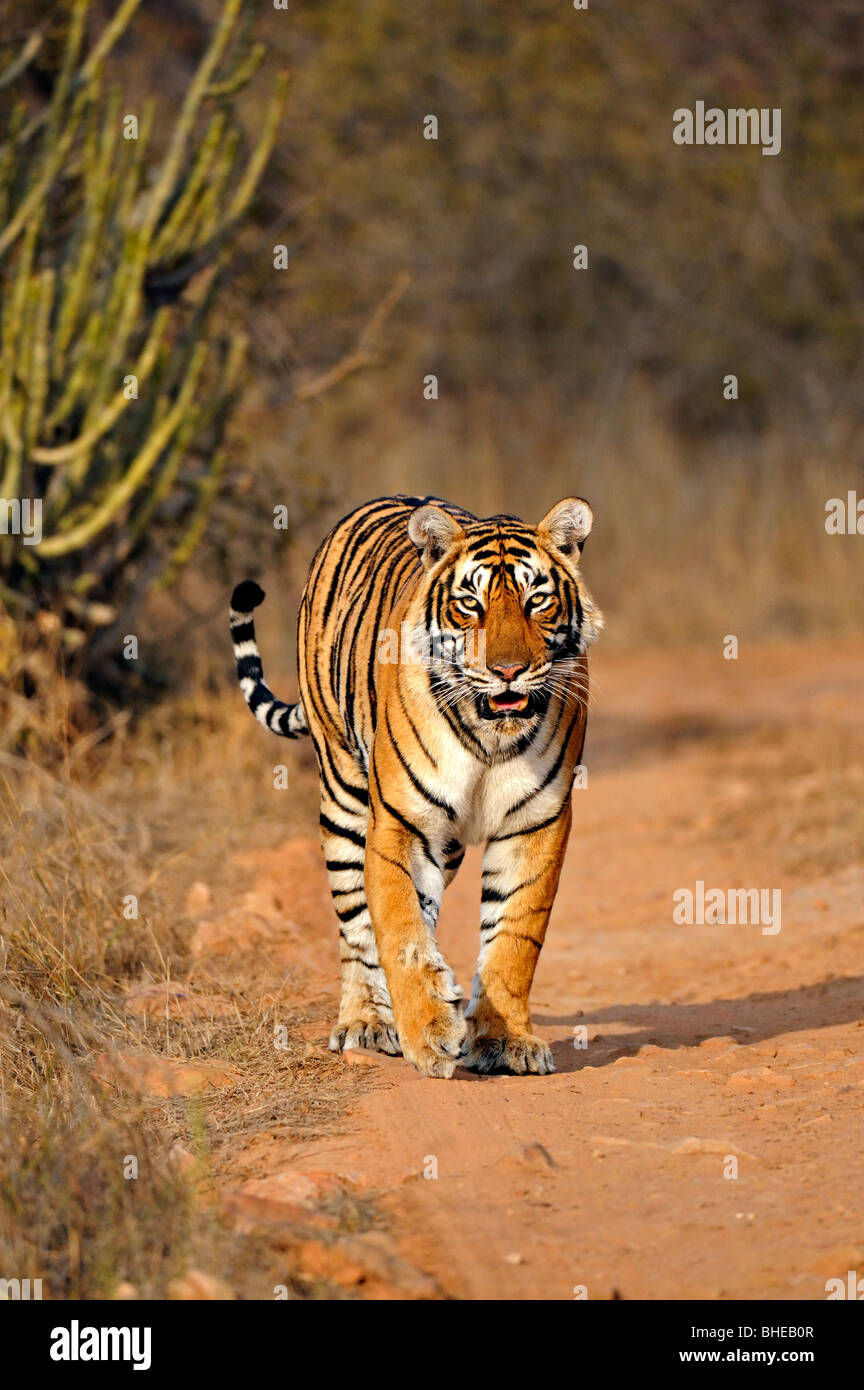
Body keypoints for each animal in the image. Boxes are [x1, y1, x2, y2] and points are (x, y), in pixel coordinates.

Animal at [229, 495, 603, 1078]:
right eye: (470, 604)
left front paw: (504, 1040)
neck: (488, 736)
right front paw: (428, 1032)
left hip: (446, 848)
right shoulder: (399, 822)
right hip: (343, 795)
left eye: (537, 600)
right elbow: (398, 927)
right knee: (356, 921)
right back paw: (367, 1020)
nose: (508, 671)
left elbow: (514, 937)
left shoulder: (536, 821)